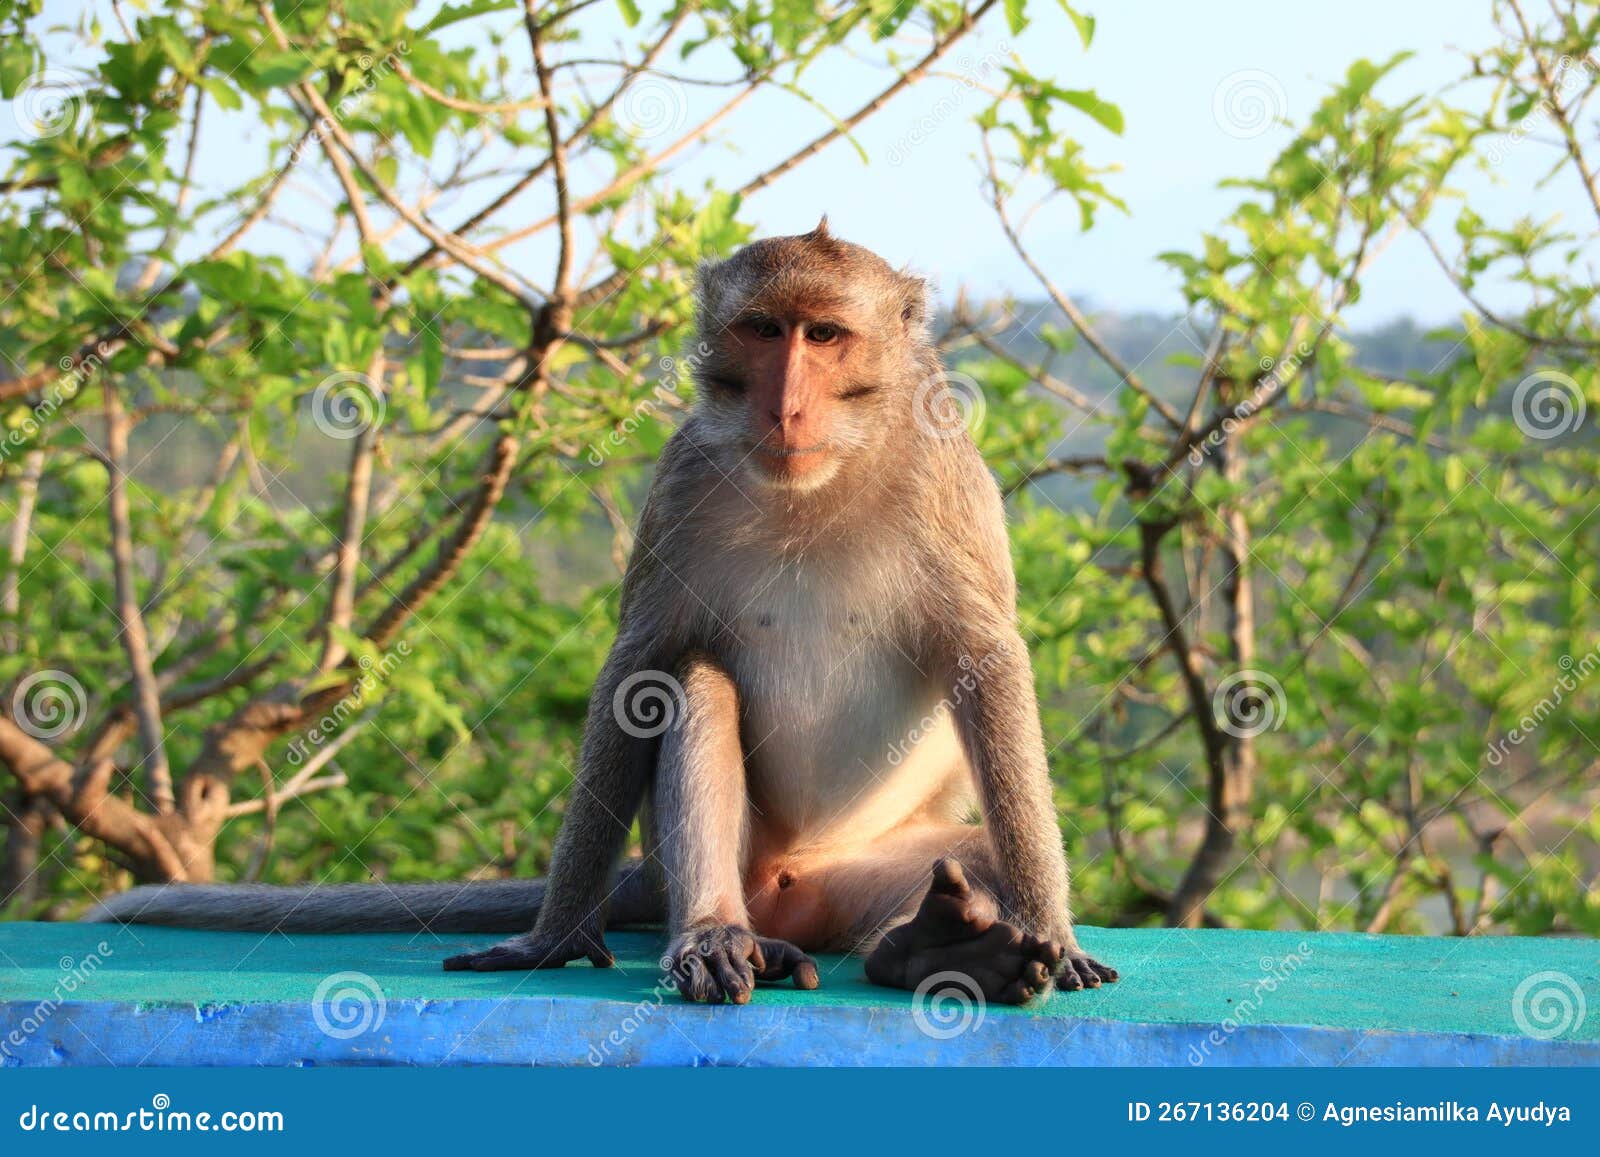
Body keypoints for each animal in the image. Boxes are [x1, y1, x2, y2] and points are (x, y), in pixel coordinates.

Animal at [92, 220, 1118, 1006]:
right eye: (761, 330)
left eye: (825, 336)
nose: (786, 405)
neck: (817, 480)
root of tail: (789, 892)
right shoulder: (681, 483)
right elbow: (642, 670)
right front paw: (549, 936)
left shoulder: (946, 482)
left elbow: (985, 661)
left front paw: (1047, 926)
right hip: (693, 865)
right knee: (695, 685)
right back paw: (720, 934)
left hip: (868, 870)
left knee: (952, 864)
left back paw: (941, 943)